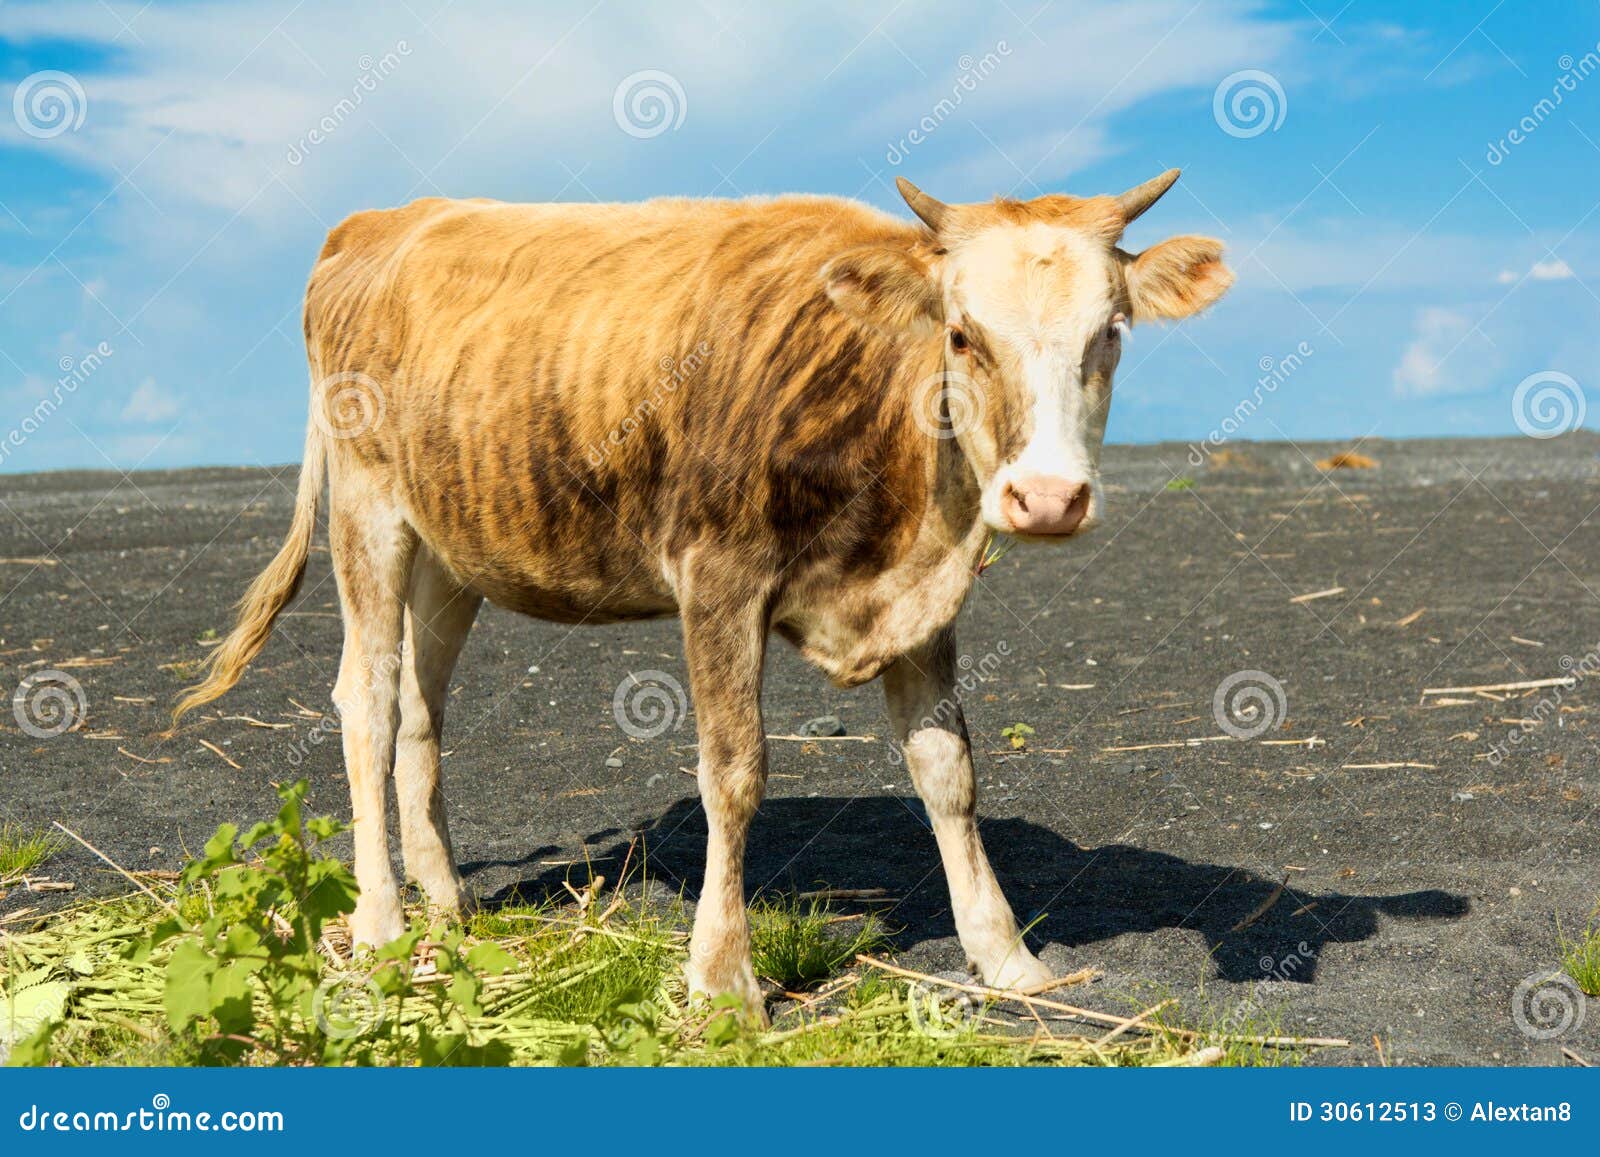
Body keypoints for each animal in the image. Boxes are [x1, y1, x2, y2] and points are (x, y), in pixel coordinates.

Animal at [175, 171, 1232, 1021]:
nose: (1046, 496)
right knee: (366, 700)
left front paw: (1007, 957)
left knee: (419, 712)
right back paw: (384, 922)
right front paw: (724, 978)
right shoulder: (719, 578)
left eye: (1111, 334)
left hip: (453, 543)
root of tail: (382, 218)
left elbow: (949, 771)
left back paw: (449, 902)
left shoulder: (921, 598)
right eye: (962, 335)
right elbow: (734, 773)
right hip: (368, 509)